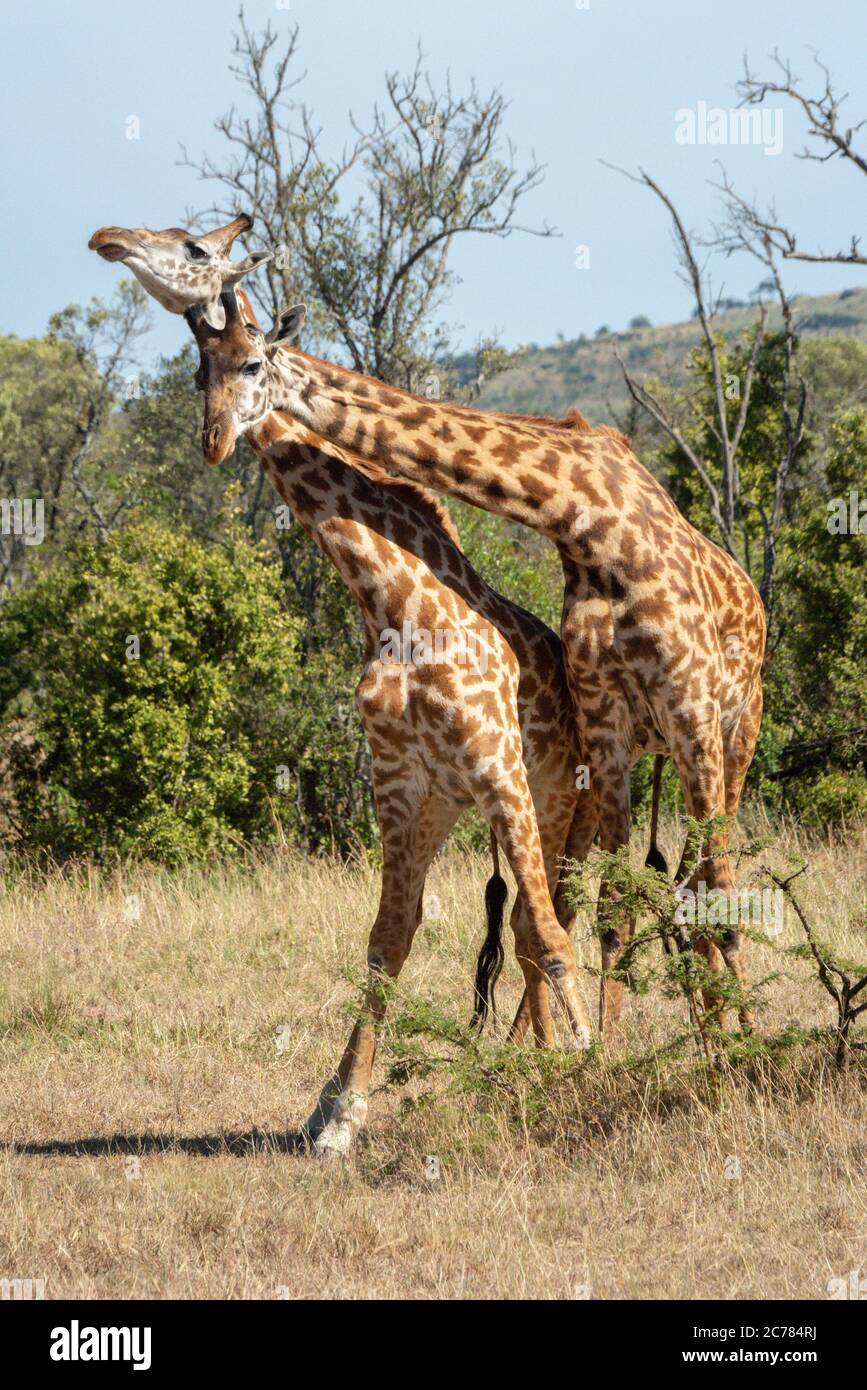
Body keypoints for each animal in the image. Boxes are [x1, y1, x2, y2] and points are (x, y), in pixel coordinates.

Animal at [191, 293, 767, 1037]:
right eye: (198, 372)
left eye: (252, 363)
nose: (213, 440)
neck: (588, 524)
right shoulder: (603, 722)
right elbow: (608, 903)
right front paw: (605, 1049)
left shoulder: (687, 704)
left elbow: (705, 892)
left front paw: (738, 1048)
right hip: (632, 759)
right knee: (609, 896)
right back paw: (682, 1034)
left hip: (729, 733)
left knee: (702, 882)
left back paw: (724, 1034)